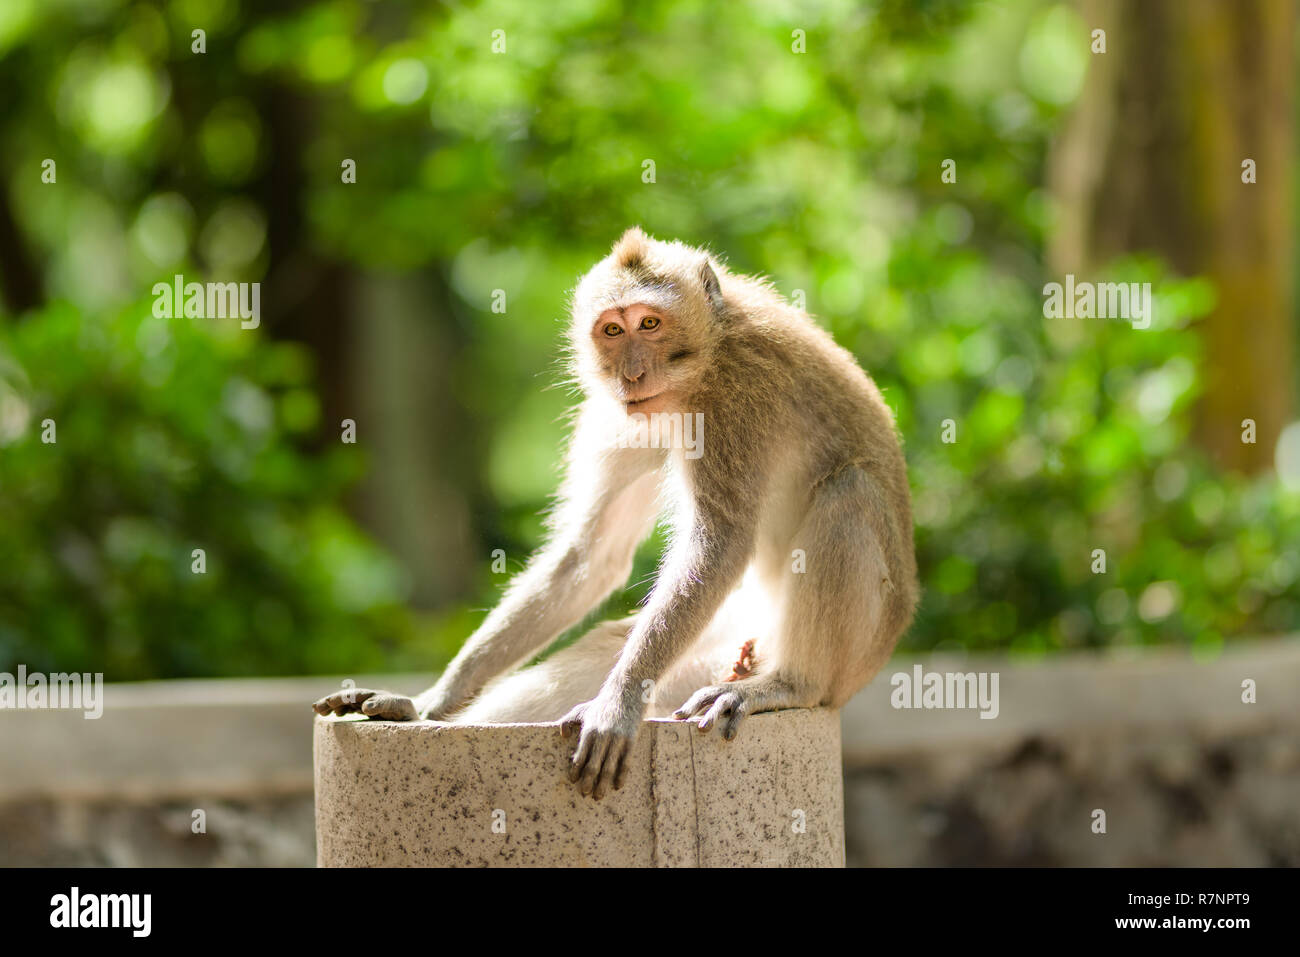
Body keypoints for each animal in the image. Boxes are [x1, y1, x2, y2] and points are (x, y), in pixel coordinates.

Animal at [314, 227, 918, 801]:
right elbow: (591, 554)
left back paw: (791, 685)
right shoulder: (619, 414)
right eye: (612, 331)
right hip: (724, 638)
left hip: (854, 651)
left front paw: (617, 706)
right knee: (611, 644)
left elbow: (719, 541)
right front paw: (429, 700)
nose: (632, 373)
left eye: (650, 323)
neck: (706, 356)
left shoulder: (735, 399)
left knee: (850, 493)